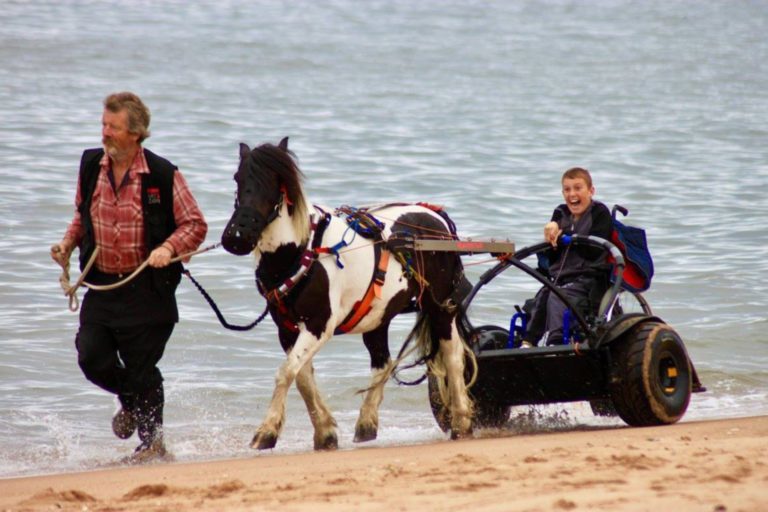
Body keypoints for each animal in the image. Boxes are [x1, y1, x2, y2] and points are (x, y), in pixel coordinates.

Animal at [221, 137, 476, 450]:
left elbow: (286, 373)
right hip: (378, 316)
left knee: (453, 357)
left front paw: (267, 432)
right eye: (238, 178)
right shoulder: (287, 329)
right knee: (383, 363)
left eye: (275, 182)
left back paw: (461, 421)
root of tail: (435, 216)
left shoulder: (319, 324)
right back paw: (366, 422)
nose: (237, 236)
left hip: (440, 308)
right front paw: (325, 431)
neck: (301, 252)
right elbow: (302, 377)